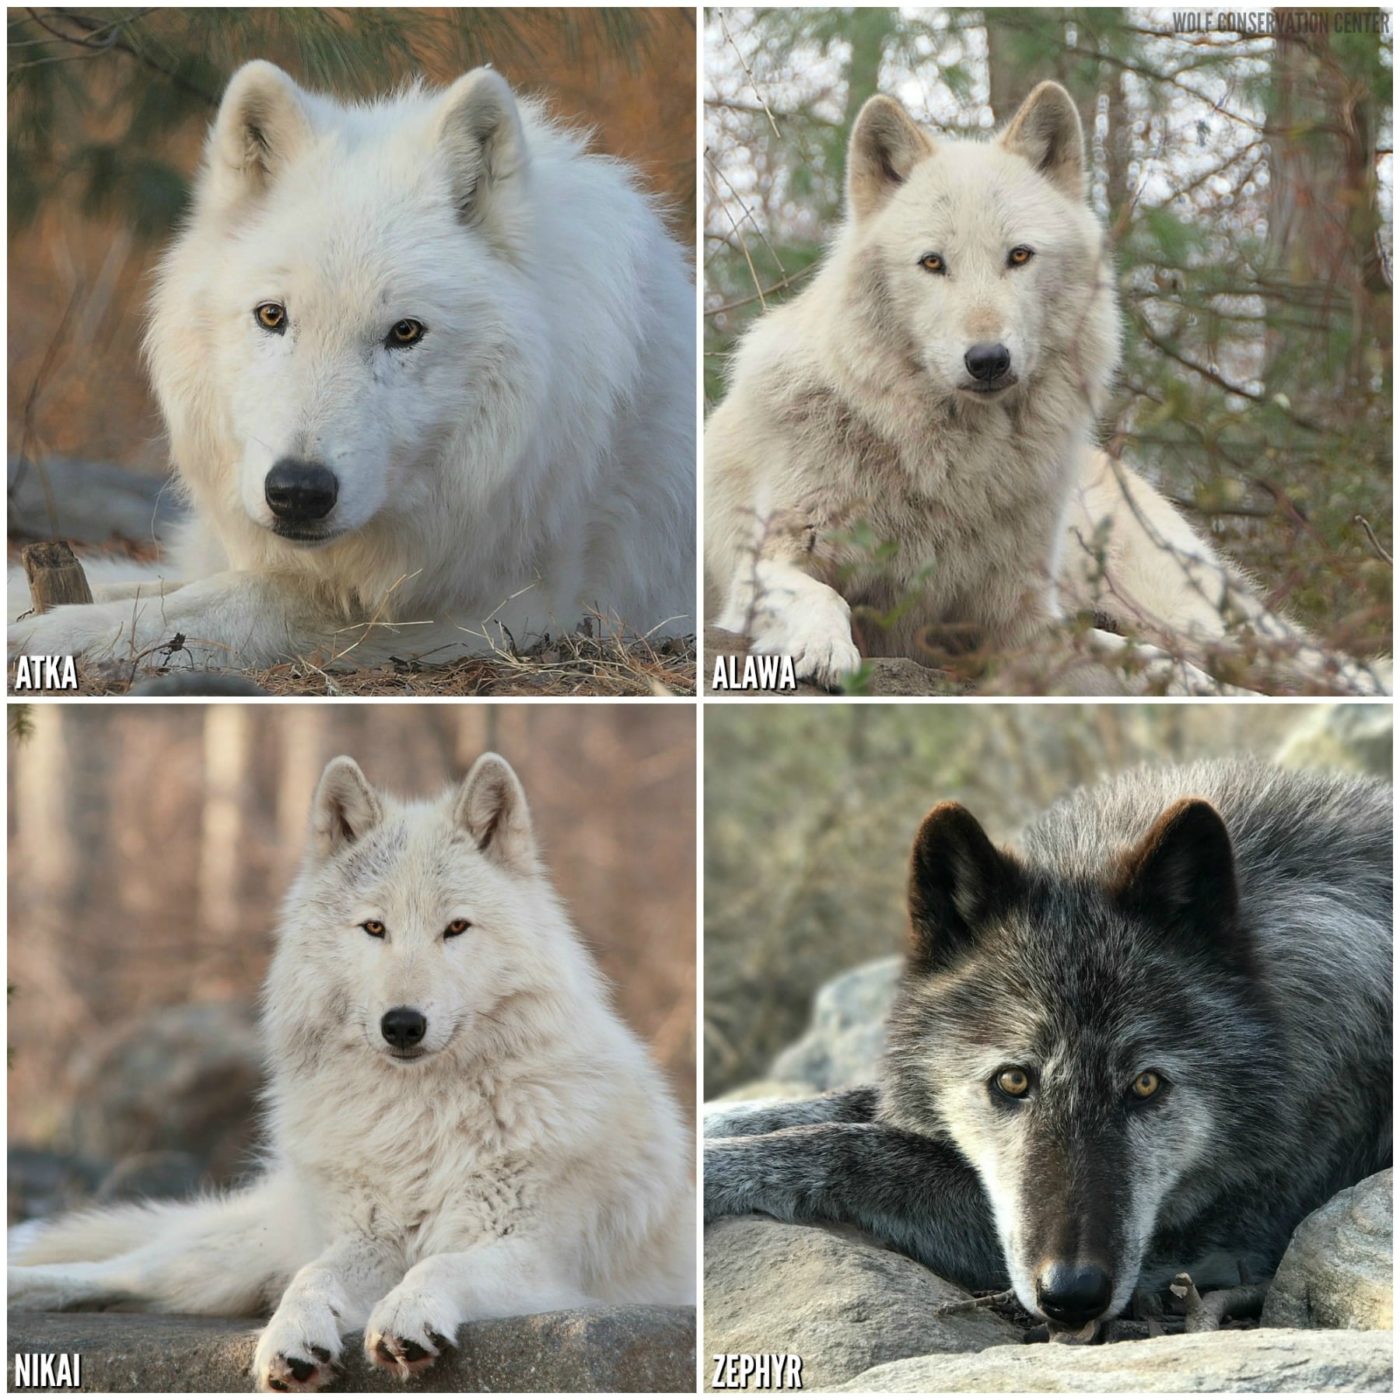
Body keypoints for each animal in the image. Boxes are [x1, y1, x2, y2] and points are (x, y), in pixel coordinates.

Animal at [9, 60, 695, 672]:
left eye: (405, 332)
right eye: (272, 316)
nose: (297, 492)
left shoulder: (511, 609)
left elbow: (246, 597)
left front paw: (63, 634)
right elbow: (151, 582)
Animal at [10, 754, 695, 1391]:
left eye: (455, 928)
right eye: (374, 927)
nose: (403, 1025)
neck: (420, 1120)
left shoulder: (535, 1260)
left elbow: (438, 1265)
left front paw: (405, 1318)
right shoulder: (363, 1240)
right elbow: (313, 1278)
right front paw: (289, 1339)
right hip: (228, 1256)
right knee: (121, 1268)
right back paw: (20, 1286)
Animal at [705, 82, 1382, 696]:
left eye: (1019, 256)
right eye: (933, 263)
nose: (987, 360)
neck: (951, 467)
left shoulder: (1018, 624)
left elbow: (1127, 660)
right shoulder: (761, 566)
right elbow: (821, 594)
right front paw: (824, 646)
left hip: (1191, 614)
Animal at [705, 760, 1391, 1331]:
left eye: (1146, 1085)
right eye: (1013, 1080)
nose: (1073, 1296)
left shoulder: (1207, 1239)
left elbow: (865, 1148)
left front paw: (716, 1170)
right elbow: (844, 1107)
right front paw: (721, 1125)